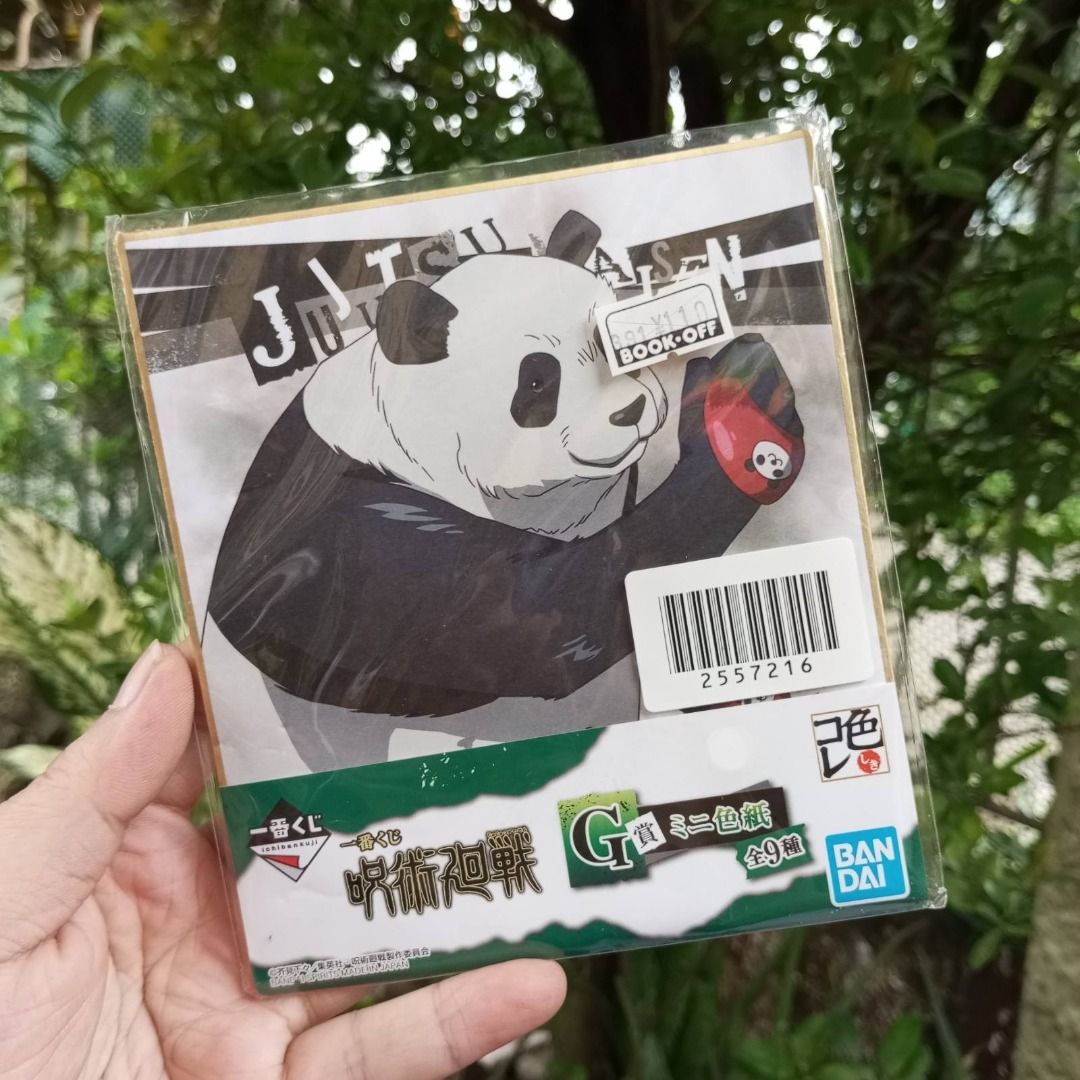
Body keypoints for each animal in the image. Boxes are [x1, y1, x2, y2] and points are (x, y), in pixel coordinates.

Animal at [207, 210, 804, 768]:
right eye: (537, 381)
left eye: (617, 342)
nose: (630, 411)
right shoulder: (366, 537)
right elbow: (541, 621)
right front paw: (739, 411)